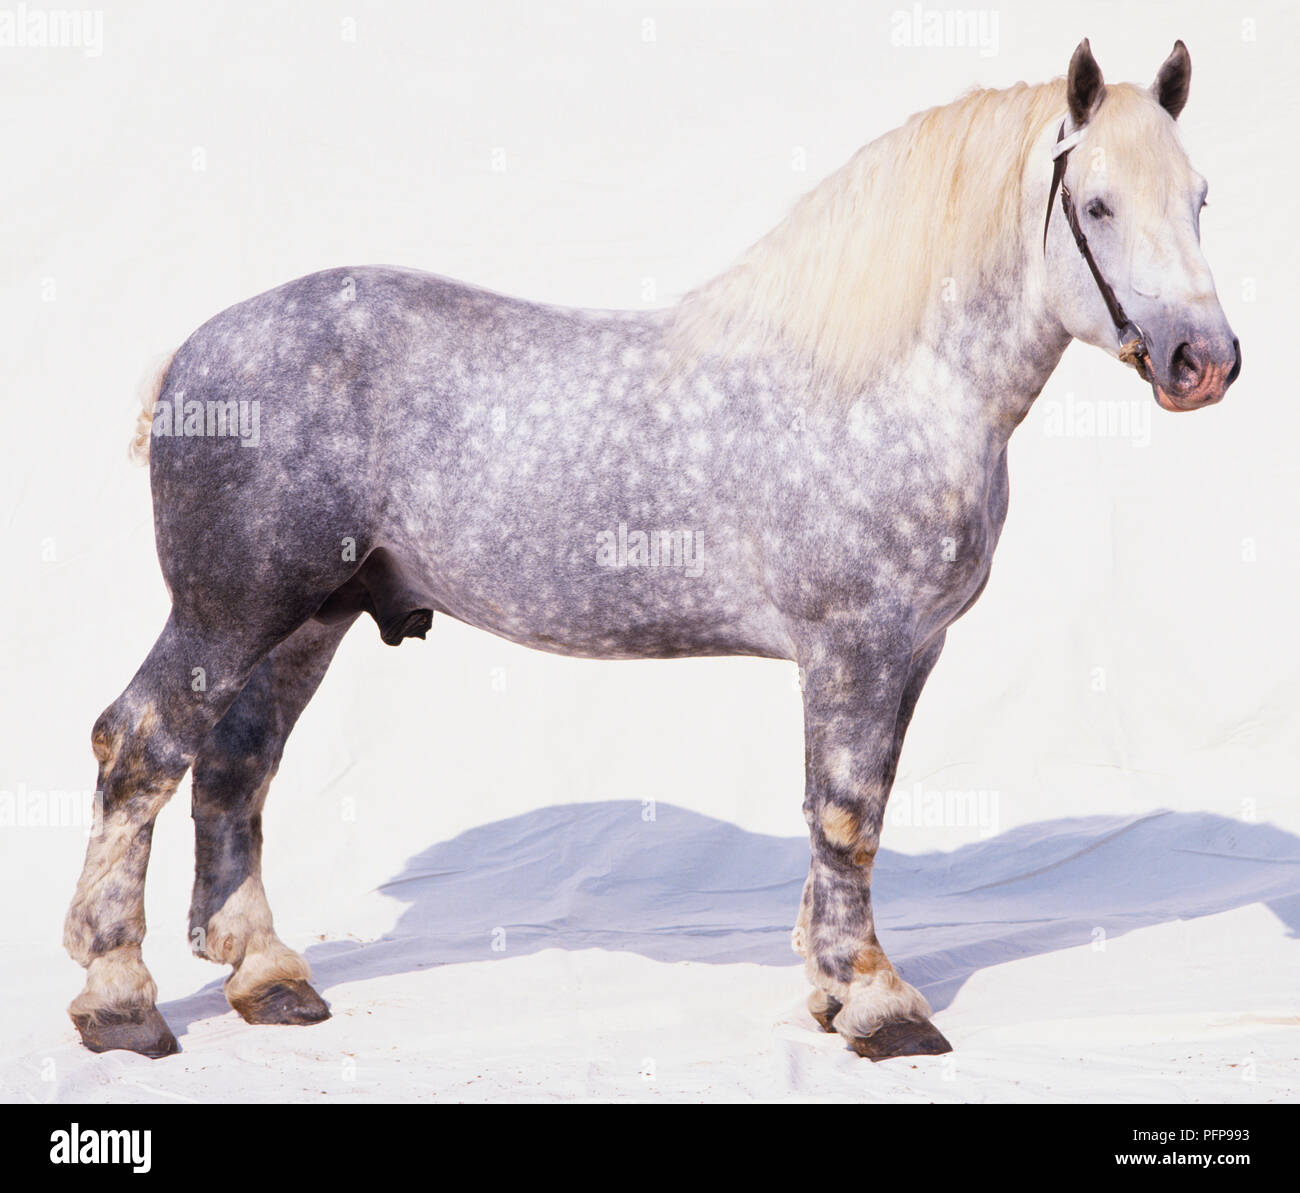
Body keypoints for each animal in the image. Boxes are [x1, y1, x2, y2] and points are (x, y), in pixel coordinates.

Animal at [66, 39, 1240, 1061]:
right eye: (1097, 204)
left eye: (1198, 199)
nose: (1205, 360)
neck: (890, 382)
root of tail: (196, 352)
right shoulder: (858, 645)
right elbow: (849, 815)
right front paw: (877, 1002)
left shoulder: (904, 653)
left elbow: (844, 810)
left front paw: (826, 988)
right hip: (227, 611)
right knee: (139, 748)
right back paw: (118, 998)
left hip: (307, 619)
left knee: (233, 768)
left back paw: (266, 977)